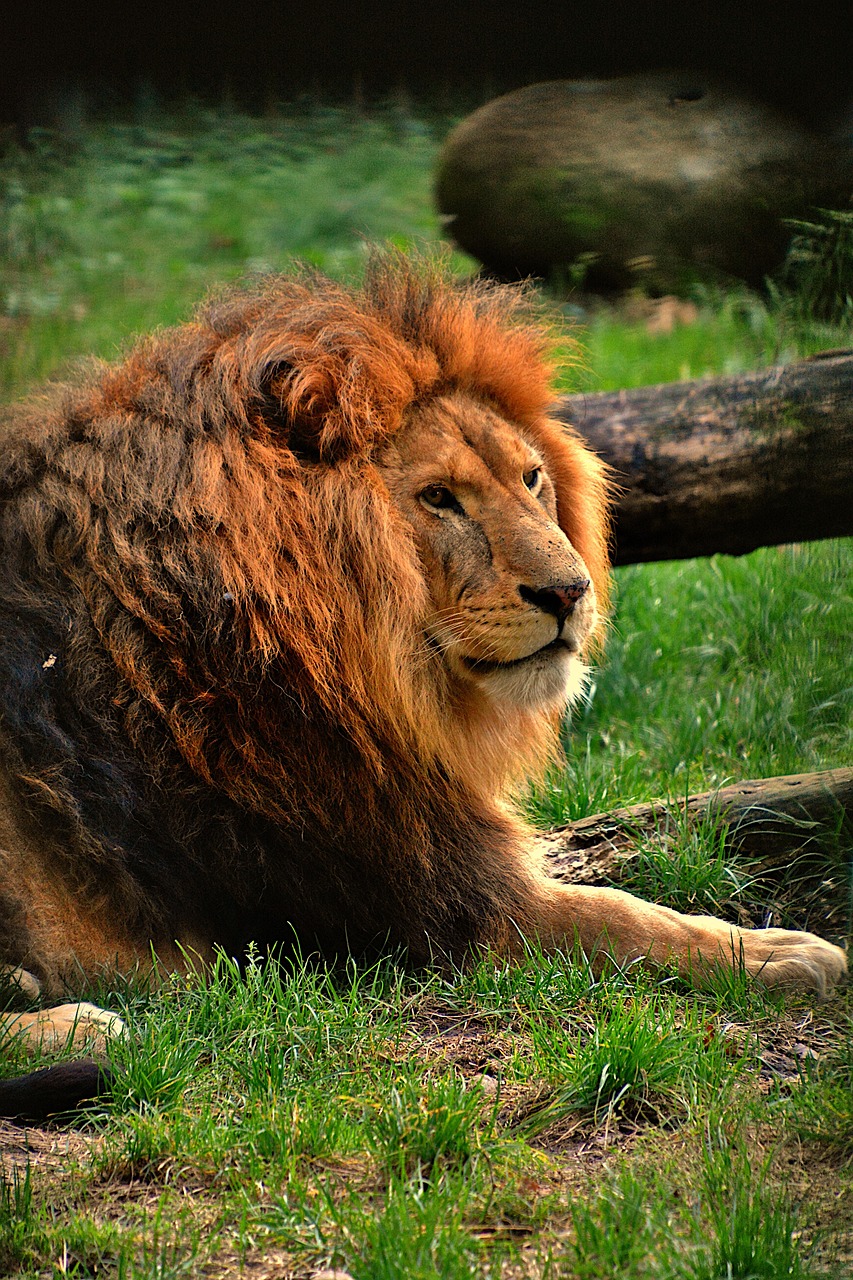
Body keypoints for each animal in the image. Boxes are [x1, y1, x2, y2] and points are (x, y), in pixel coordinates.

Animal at [0, 254, 845, 1114]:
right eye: (439, 497)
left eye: (532, 479)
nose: (570, 592)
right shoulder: (434, 897)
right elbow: (623, 918)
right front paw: (778, 953)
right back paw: (73, 1024)